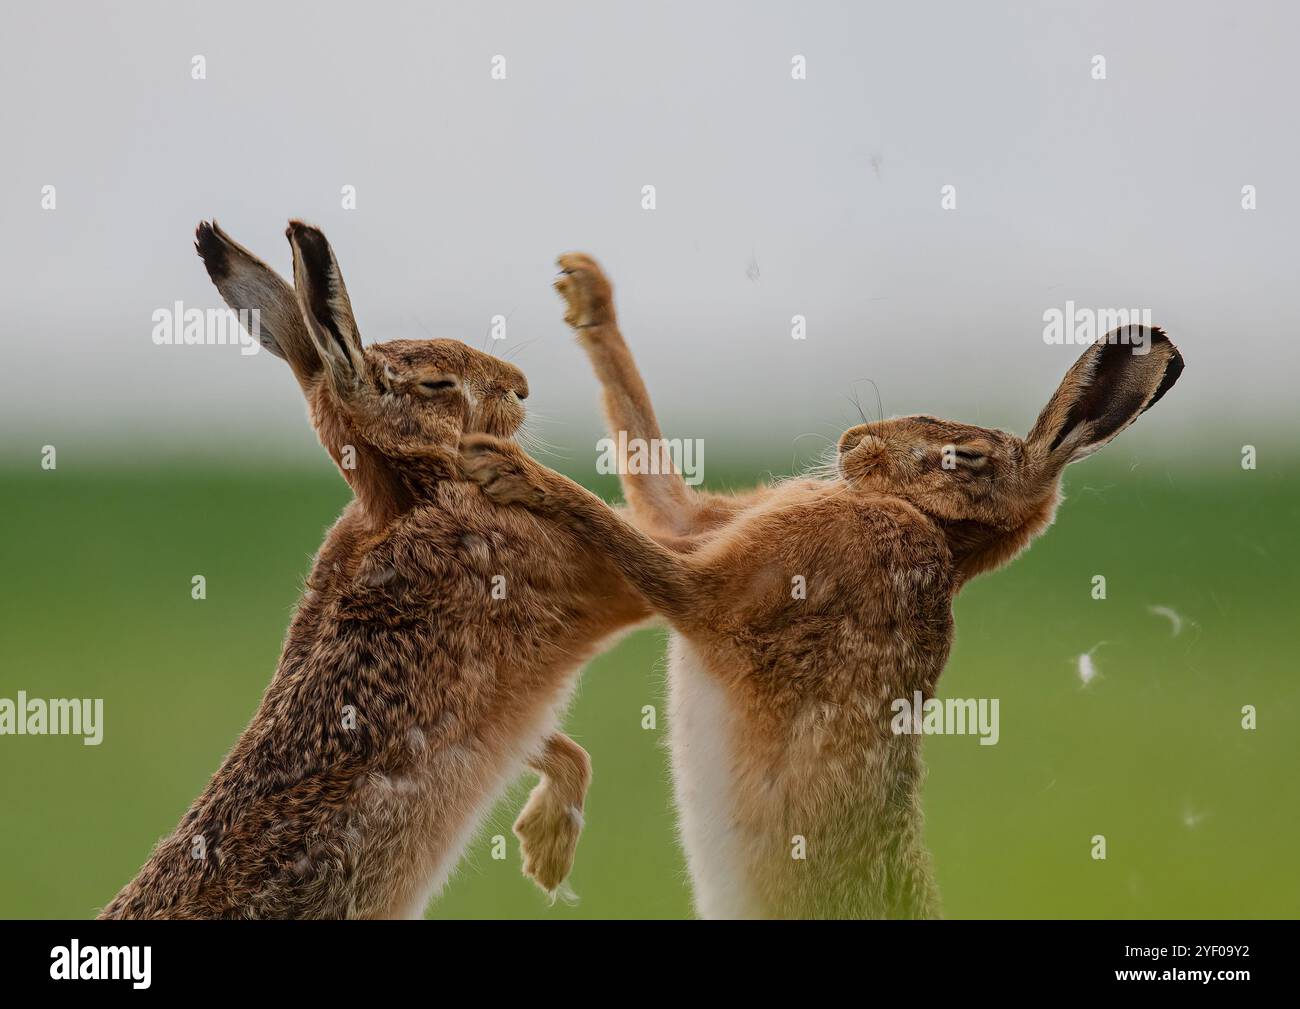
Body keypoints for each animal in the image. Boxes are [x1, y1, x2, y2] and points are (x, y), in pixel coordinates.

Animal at [99, 224, 657, 919]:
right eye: (438, 384)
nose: (521, 387)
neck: (409, 492)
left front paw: (541, 843)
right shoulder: (580, 587)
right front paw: (550, 850)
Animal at [459, 253, 1184, 919]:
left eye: (966, 457)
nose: (852, 441)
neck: (934, 530)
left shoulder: (726, 592)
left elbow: (625, 534)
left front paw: (511, 470)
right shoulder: (702, 526)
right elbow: (655, 475)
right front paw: (586, 291)